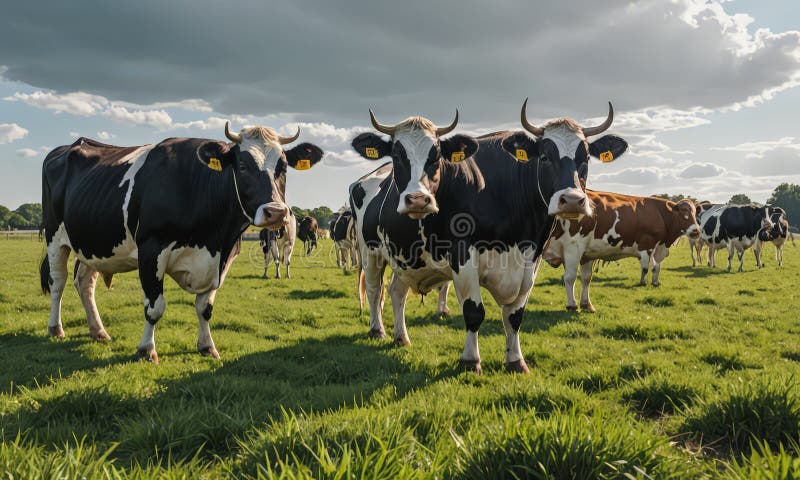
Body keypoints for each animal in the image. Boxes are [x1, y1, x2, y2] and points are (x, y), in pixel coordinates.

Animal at [40, 122, 323, 363]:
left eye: (283, 168)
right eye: (242, 166)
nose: (276, 212)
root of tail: (71, 146)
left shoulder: (224, 257)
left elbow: (205, 308)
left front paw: (207, 346)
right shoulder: (151, 248)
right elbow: (155, 307)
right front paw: (146, 350)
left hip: (93, 243)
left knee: (84, 282)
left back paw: (98, 331)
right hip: (55, 237)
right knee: (58, 281)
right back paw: (56, 328)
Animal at [349, 102, 626, 374]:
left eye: (585, 158)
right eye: (545, 156)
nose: (572, 200)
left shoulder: (531, 261)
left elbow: (514, 316)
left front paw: (516, 360)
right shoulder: (463, 258)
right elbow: (474, 312)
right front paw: (471, 360)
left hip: (406, 258)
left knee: (397, 292)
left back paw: (401, 337)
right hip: (370, 252)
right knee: (374, 291)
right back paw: (378, 330)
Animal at [543, 191, 700, 312]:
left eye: (695, 213)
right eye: (684, 213)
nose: (696, 231)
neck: (659, 213)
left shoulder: (588, 253)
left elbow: (586, 277)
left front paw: (586, 304)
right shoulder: (646, 244)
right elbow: (645, 268)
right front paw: (643, 282)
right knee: (569, 277)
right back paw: (572, 305)